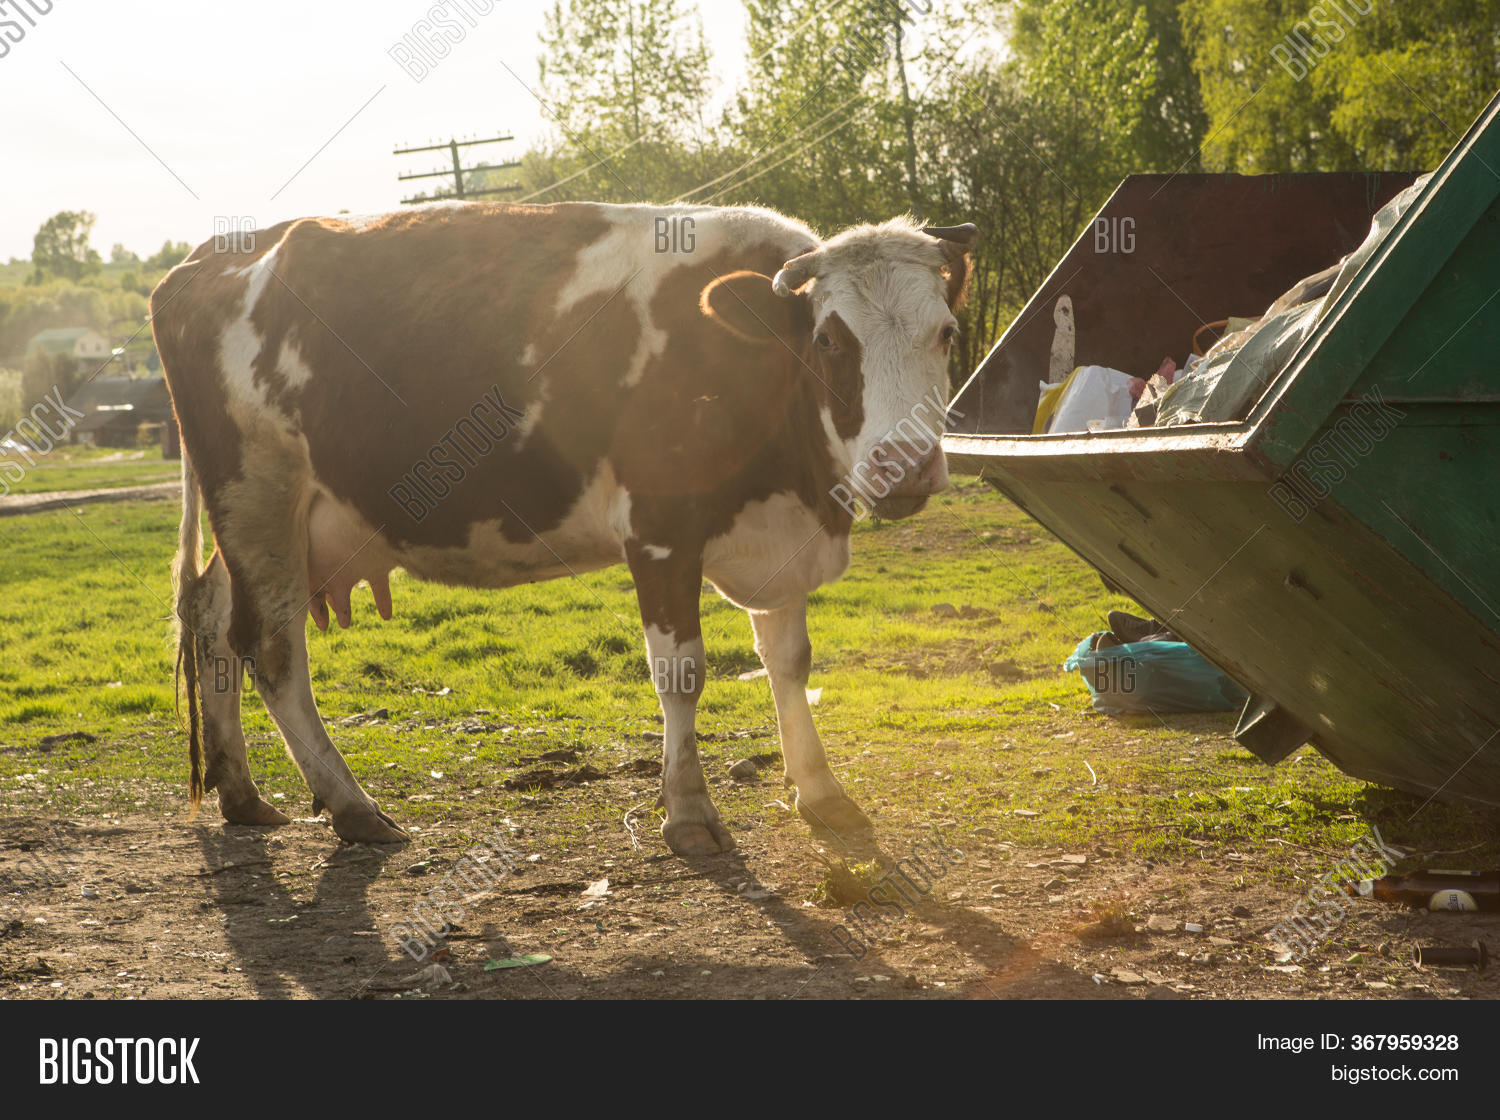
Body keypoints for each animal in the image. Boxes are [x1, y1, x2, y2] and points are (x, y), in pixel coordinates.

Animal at [151, 202, 975, 857]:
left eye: (947, 332)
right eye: (830, 341)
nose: (905, 465)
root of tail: (211, 256)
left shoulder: (783, 539)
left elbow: (788, 662)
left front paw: (820, 791)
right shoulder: (659, 532)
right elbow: (682, 673)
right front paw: (688, 813)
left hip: (266, 518)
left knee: (213, 617)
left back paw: (242, 795)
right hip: (258, 489)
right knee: (270, 645)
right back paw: (353, 807)